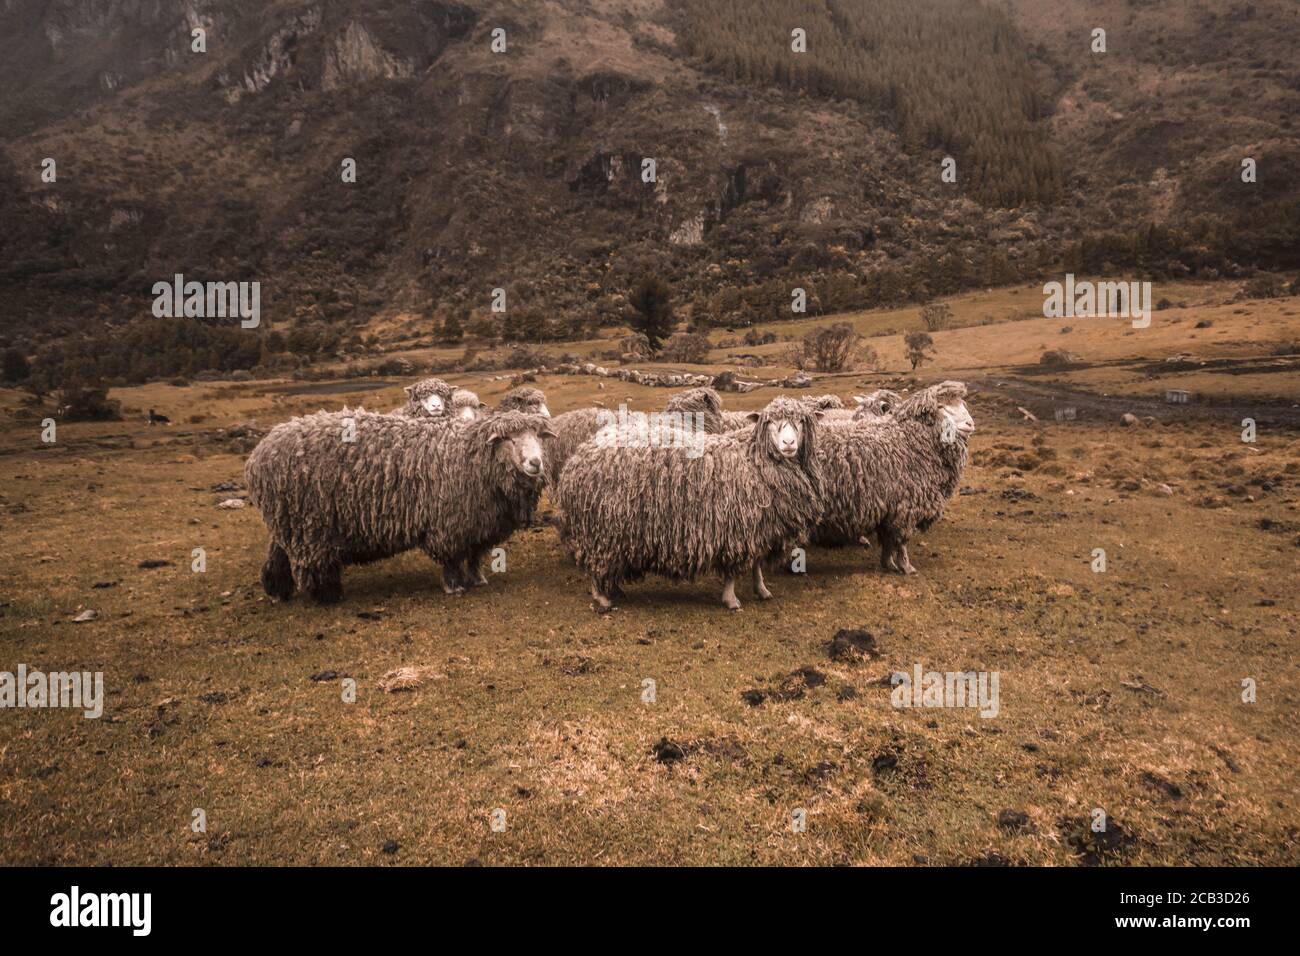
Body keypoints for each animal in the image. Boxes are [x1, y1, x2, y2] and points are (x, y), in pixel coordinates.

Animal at [245, 407, 554, 602]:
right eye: (510, 439)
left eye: (538, 437)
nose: (535, 463)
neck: (472, 456)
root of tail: (258, 455)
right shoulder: (449, 524)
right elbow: (453, 559)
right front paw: (454, 586)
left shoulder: (480, 523)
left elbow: (475, 555)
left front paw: (477, 579)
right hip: (310, 527)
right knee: (312, 563)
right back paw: (329, 596)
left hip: (289, 521)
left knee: (277, 553)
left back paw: (277, 591)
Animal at [554, 396, 823, 611]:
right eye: (769, 422)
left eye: (801, 422)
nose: (788, 444)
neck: (755, 460)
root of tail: (578, 457)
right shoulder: (735, 528)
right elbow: (732, 572)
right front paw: (731, 600)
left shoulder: (761, 526)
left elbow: (756, 563)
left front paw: (762, 590)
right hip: (603, 527)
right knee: (595, 564)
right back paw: (602, 598)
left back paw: (615, 590)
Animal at [809, 381, 973, 574]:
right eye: (941, 407)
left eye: (962, 404)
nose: (970, 423)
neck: (910, 440)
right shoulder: (905, 506)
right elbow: (901, 541)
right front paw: (906, 566)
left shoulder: (889, 508)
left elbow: (888, 540)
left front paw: (888, 563)